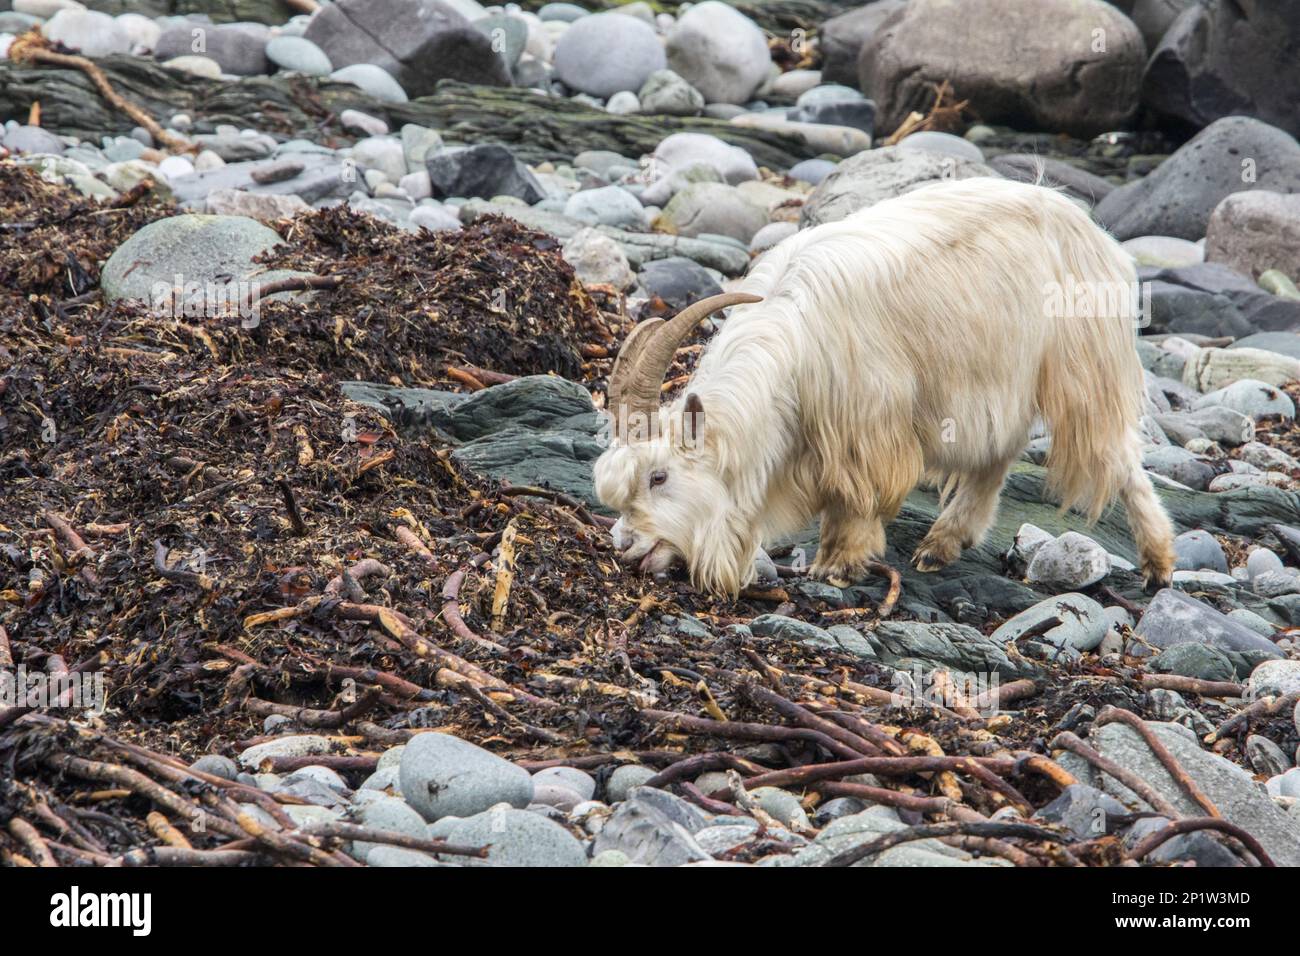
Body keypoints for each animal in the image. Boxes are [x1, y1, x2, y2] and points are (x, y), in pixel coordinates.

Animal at [593, 176, 1175, 597]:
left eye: (659, 476)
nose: (625, 546)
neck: (793, 340)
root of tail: (1092, 231)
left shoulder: (867, 427)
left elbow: (859, 495)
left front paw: (837, 564)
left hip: (1083, 368)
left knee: (1118, 454)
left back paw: (1159, 564)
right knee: (998, 455)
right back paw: (942, 545)